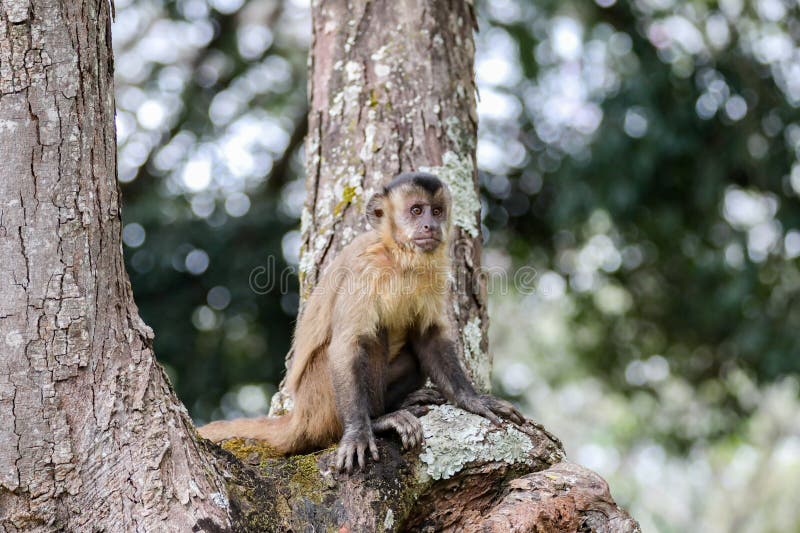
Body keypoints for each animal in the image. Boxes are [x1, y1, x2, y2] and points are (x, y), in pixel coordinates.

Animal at [198, 172, 524, 473]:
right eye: (416, 210)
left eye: (437, 211)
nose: (430, 226)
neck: (399, 257)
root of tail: (298, 415)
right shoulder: (365, 270)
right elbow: (347, 345)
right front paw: (358, 432)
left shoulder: (436, 272)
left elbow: (428, 336)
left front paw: (473, 400)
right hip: (319, 402)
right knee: (370, 338)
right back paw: (380, 419)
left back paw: (401, 403)